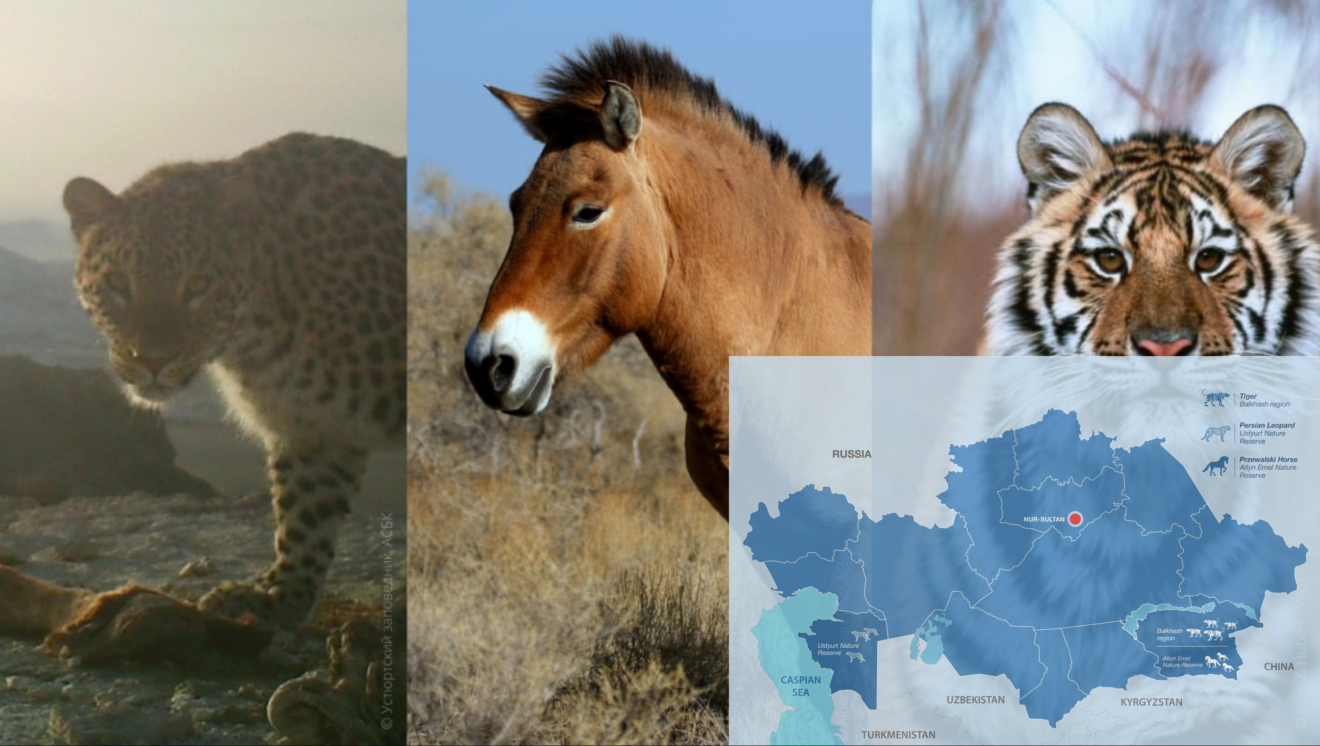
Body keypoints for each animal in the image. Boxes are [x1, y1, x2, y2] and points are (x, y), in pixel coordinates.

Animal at [63, 132, 405, 630]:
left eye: (197, 286)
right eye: (117, 284)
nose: (152, 360)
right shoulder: (312, 426)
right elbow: (305, 516)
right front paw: (279, 598)